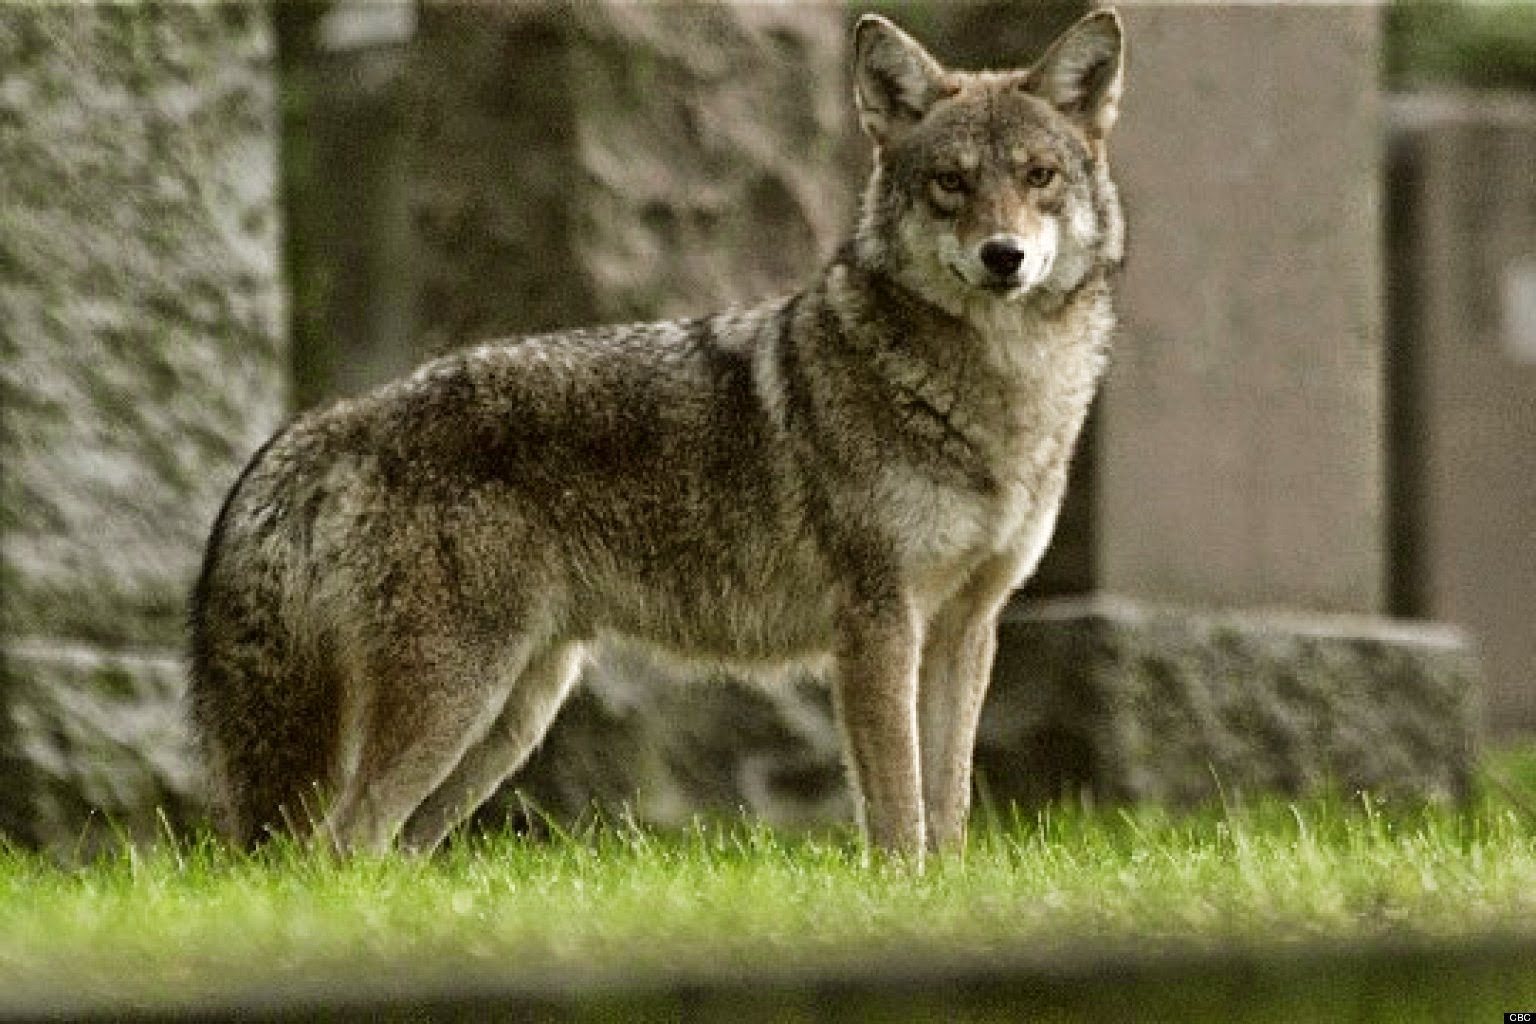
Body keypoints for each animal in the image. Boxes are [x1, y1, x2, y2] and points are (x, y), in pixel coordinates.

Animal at [189, 9, 1126, 859]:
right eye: (951, 184)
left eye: (1039, 176)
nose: (1003, 255)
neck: (1002, 395)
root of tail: (346, 414)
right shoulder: (877, 626)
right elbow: (899, 811)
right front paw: (902, 896)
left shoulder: (966, 627)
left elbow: (949, 808)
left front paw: (942, 894)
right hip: (458, 705)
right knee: (339, 843)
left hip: (506, 721)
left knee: (383, 850)